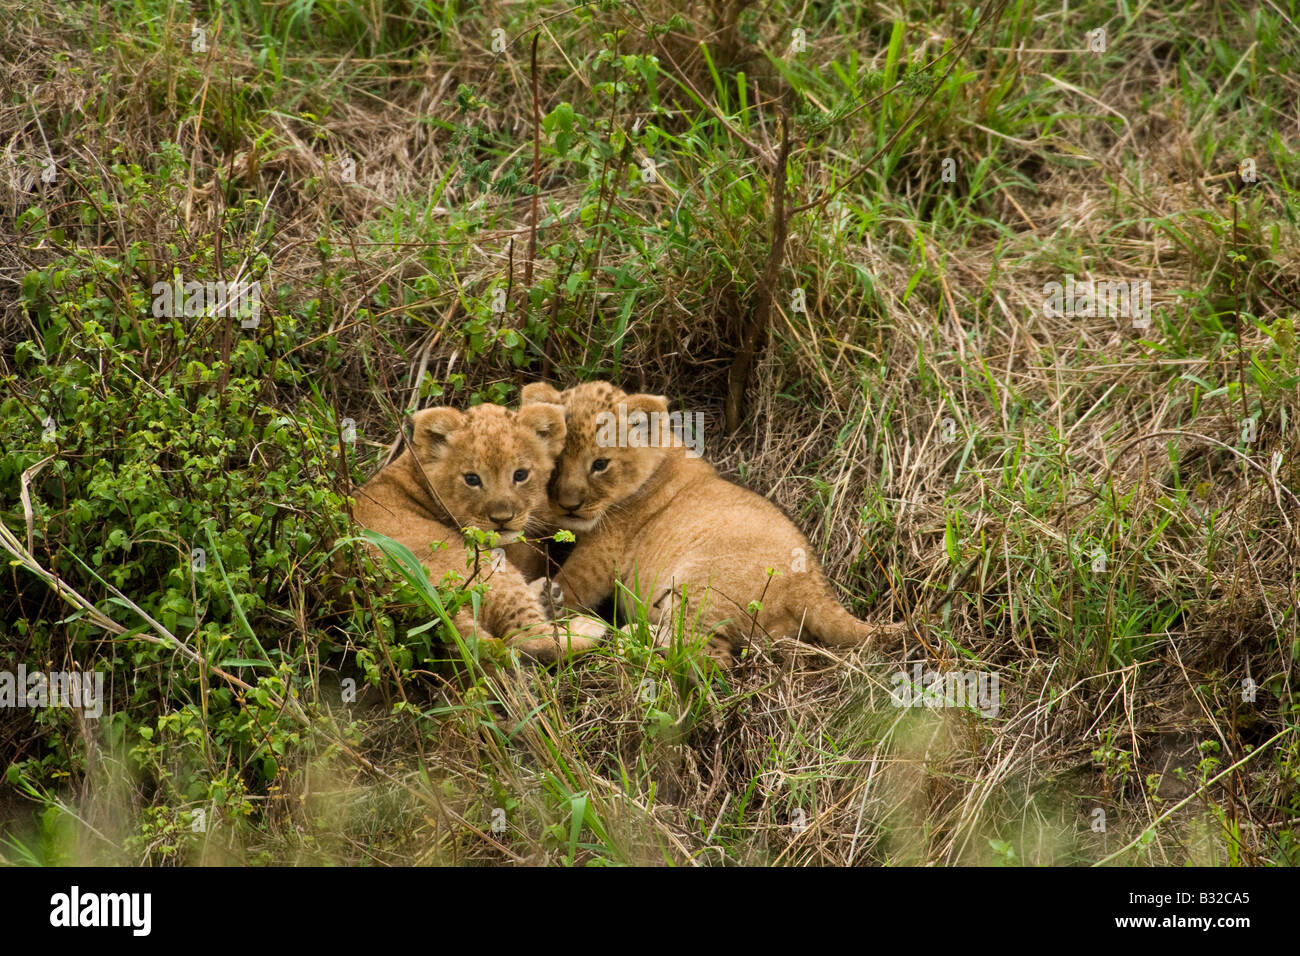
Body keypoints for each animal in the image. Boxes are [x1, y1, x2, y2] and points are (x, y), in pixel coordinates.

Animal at [352, 402, 605, 661]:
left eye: (520, 475)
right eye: (472, 479)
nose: (502, 519)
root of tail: (438, 608)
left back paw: (547, 594)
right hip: (489, 570)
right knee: (529, 640)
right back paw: (589, 627)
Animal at [520, 380, 887, 665]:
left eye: (600, 464)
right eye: (556, 462)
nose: (568, 506)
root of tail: (811, 583)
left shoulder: (603, 550)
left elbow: (574, 583)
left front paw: (548, 597)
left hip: (700, 584)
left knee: (705, 657)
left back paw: (623, 642)